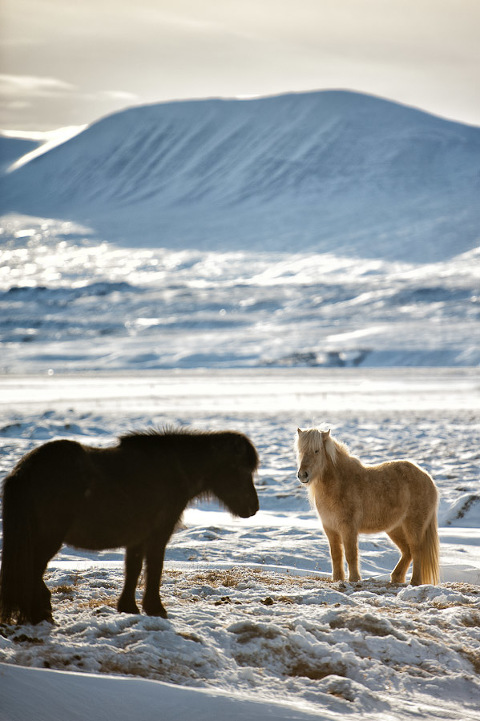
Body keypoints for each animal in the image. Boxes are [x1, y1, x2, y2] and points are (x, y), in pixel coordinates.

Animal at [0, 428, 258, 624]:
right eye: (241, 470)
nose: (253, 508)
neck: (174, 469)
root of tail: (25, 470)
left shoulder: (137, 538)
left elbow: (133, 569)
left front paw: (128, 607)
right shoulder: (158, 535)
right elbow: (154, 568)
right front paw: (156, 609)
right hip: (48, 538)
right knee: (33, 571)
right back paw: (40, 614)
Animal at [296, 428, 438, 584]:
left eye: (317, 450)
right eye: (301, 450)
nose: (303, 475)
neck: (340, 483)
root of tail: (428, 478)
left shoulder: (348, 527)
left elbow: (351, 554)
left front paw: (354, 579)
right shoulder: (330, 528)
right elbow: (336, 555)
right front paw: (338, 579)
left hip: (414, 525)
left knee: (416, 550)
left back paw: (415, 582)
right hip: (395, 528)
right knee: (407, 551)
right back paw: (396, 578)